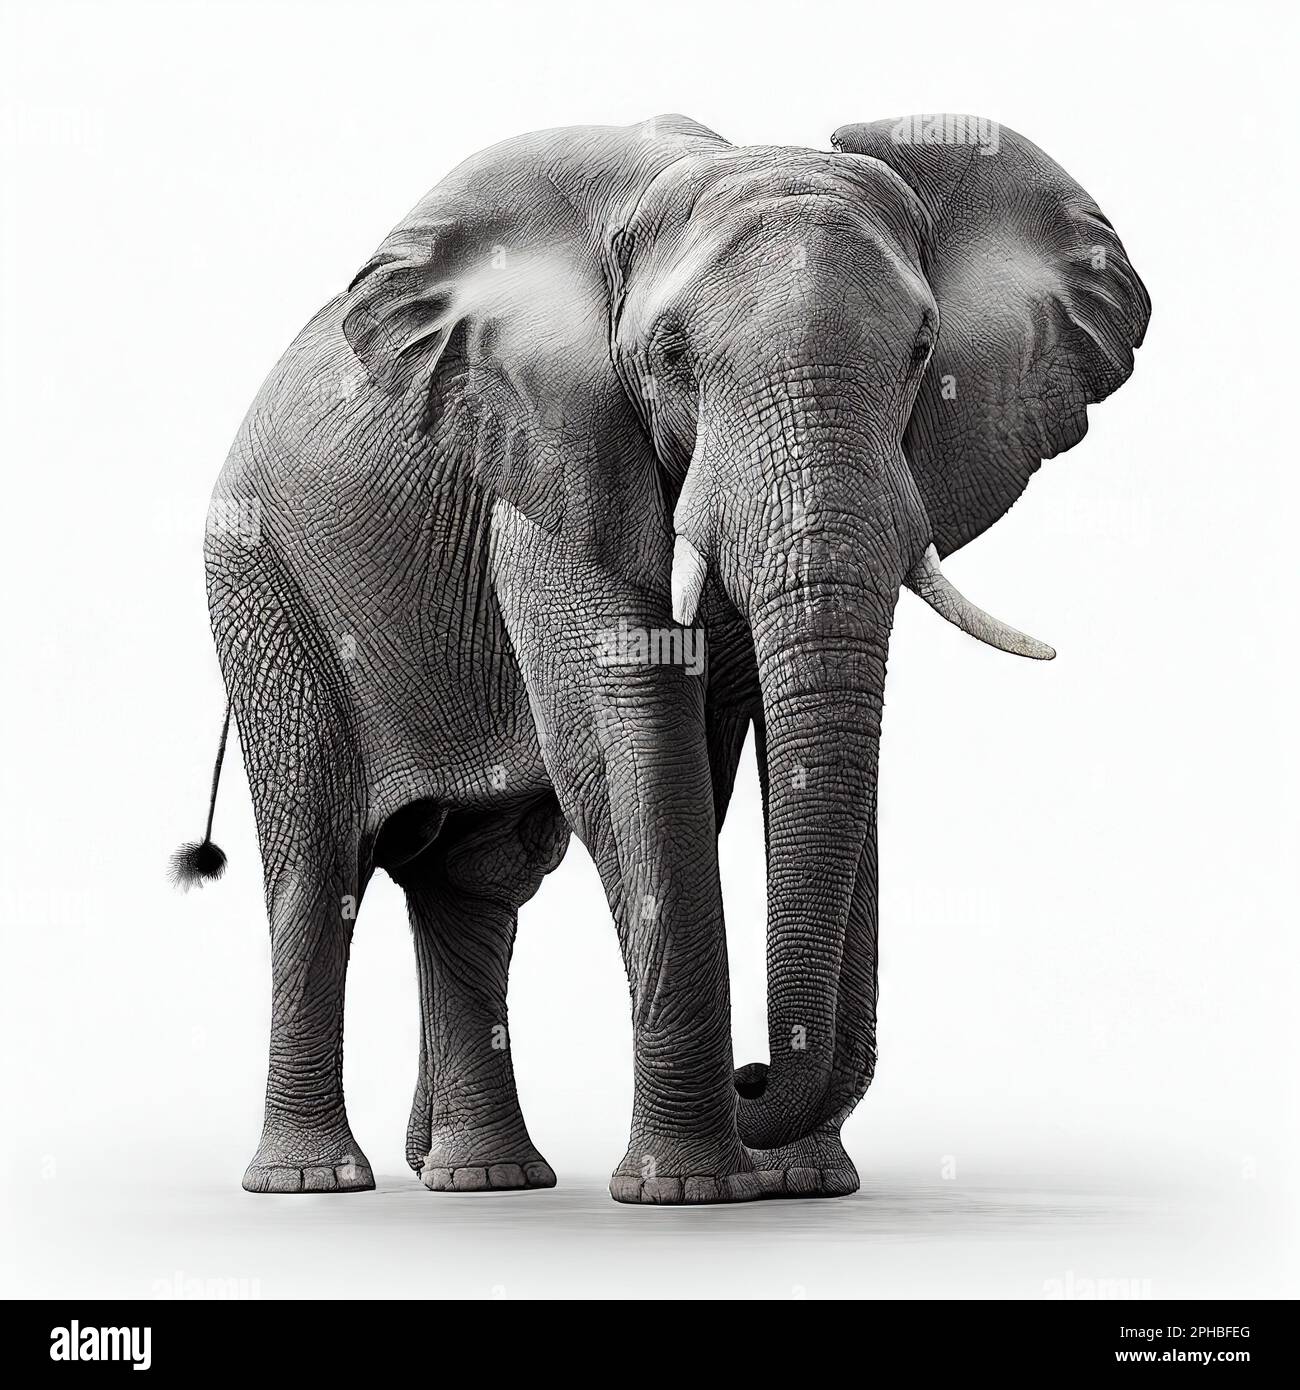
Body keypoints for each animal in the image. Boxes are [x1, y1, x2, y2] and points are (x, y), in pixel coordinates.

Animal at [174, 113, 1150, 1203]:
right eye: (668, 354)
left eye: (922, 350)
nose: (755, 1073)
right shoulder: (559, 463)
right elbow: (633, 764)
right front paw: (691, 1191)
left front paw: (802, 1187)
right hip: (261, 585)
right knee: (318, 859)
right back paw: (317, 1181)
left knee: (475, 878)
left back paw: (478, 1176)